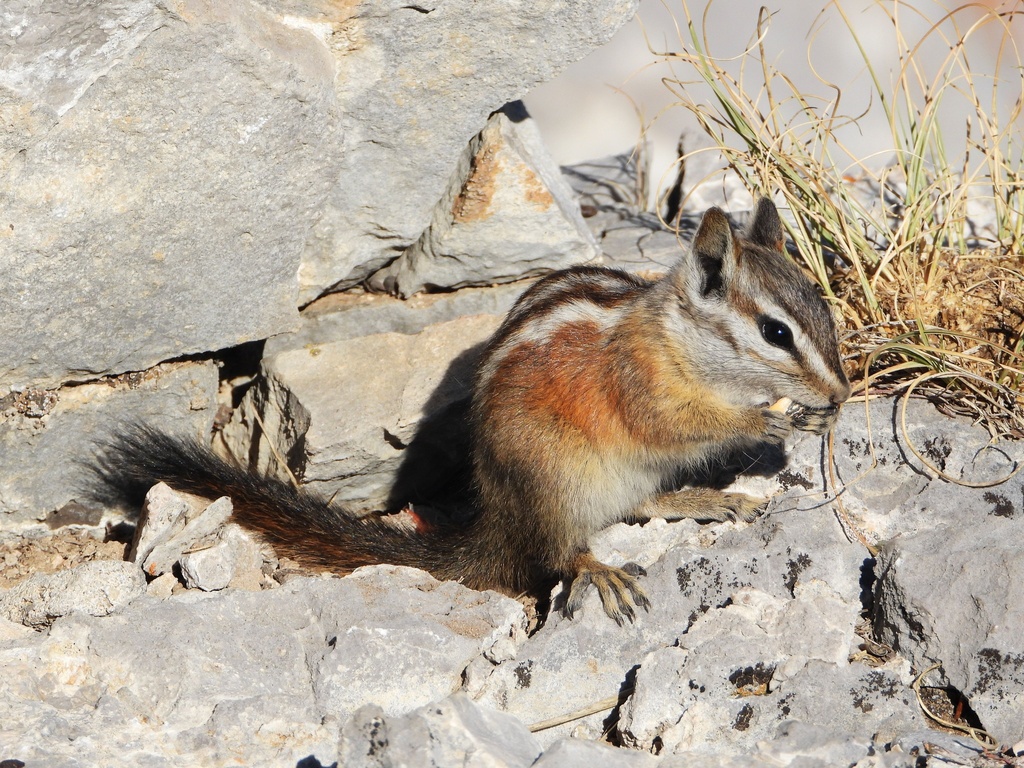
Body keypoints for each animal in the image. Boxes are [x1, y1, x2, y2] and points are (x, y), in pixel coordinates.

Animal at [103, 198, 850, 624]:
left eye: (823, 308)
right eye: (775, 333)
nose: (841, 395)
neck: (675, 339)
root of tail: (498, 523)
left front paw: (808, 419)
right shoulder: (641, 388)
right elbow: (678, 424)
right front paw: (771, 418)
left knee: (639, 505)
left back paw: (699, 499)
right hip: (556, 480)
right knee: (555, 553)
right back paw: (598, 568)